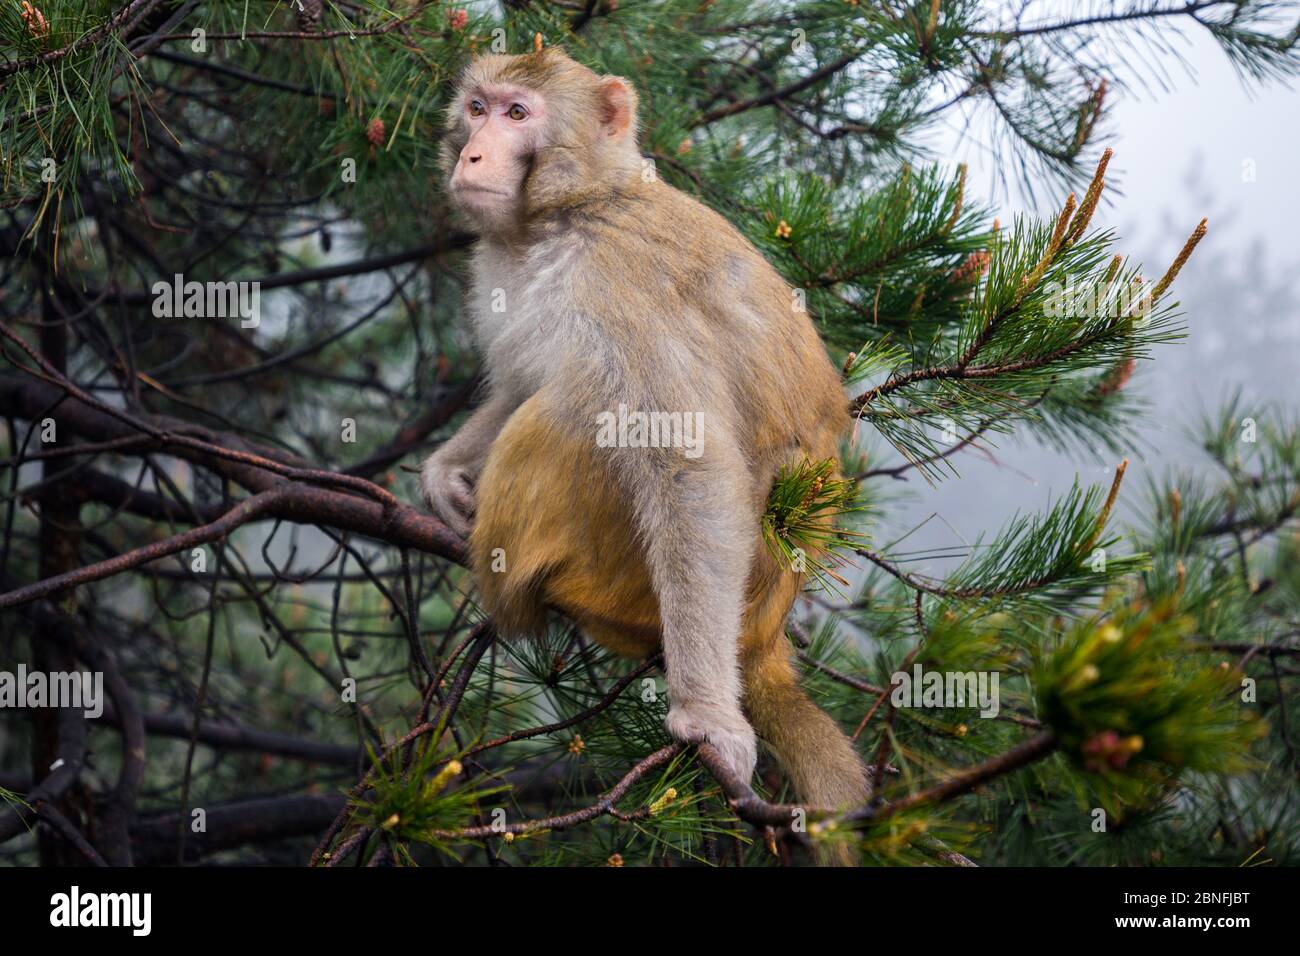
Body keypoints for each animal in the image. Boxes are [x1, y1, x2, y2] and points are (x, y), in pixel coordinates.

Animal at [420, 47, 870, 827]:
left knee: (575, 412)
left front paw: (709, 717)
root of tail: (766, 632)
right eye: (477, 108)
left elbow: (690, 467)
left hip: (633, 583)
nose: (473, 152)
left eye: (518, 114)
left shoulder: (621, 286)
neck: (569, 212)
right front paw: (446, 472)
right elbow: (515, 384)